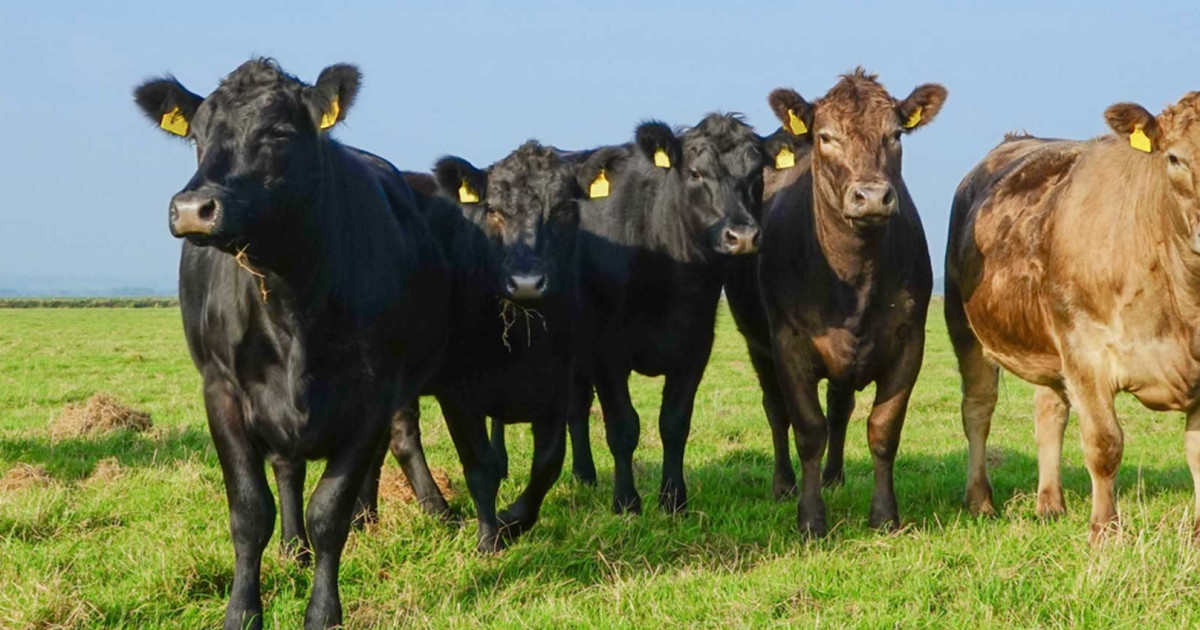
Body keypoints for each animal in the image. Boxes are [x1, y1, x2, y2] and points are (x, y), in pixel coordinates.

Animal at [133, 59, 449, 629]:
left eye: (278, 133)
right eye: (197, 134)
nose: (192, 208)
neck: (292, 294)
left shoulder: (373, 390)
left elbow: (330, 512)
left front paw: (324, 611)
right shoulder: (222, 391)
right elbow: (249, 511)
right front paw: (242, 610)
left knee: (388, 446)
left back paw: (387, 514)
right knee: (288, 467)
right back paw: (293, 547)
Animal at [725, 69, 945, 537]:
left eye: (895, 134)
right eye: (827, 137)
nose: (872, 196)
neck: (855, 277)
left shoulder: (910, 343)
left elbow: (883, 429)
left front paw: (884, 515)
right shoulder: (788, 343)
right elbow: (808, 429)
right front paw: (810, 518)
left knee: (840, 408)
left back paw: (834, 476)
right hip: (756, 343)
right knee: (776, 411)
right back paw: (784, 485)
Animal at [946, 91, 1200, 543]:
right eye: (1174, 158)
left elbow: (1197, 452)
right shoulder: (1086, 351)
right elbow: (1104, 443)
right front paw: (1104, 529)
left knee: (1049, 410)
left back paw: (1050, 502)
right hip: (967, 329)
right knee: (977, 409)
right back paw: (980, 501)